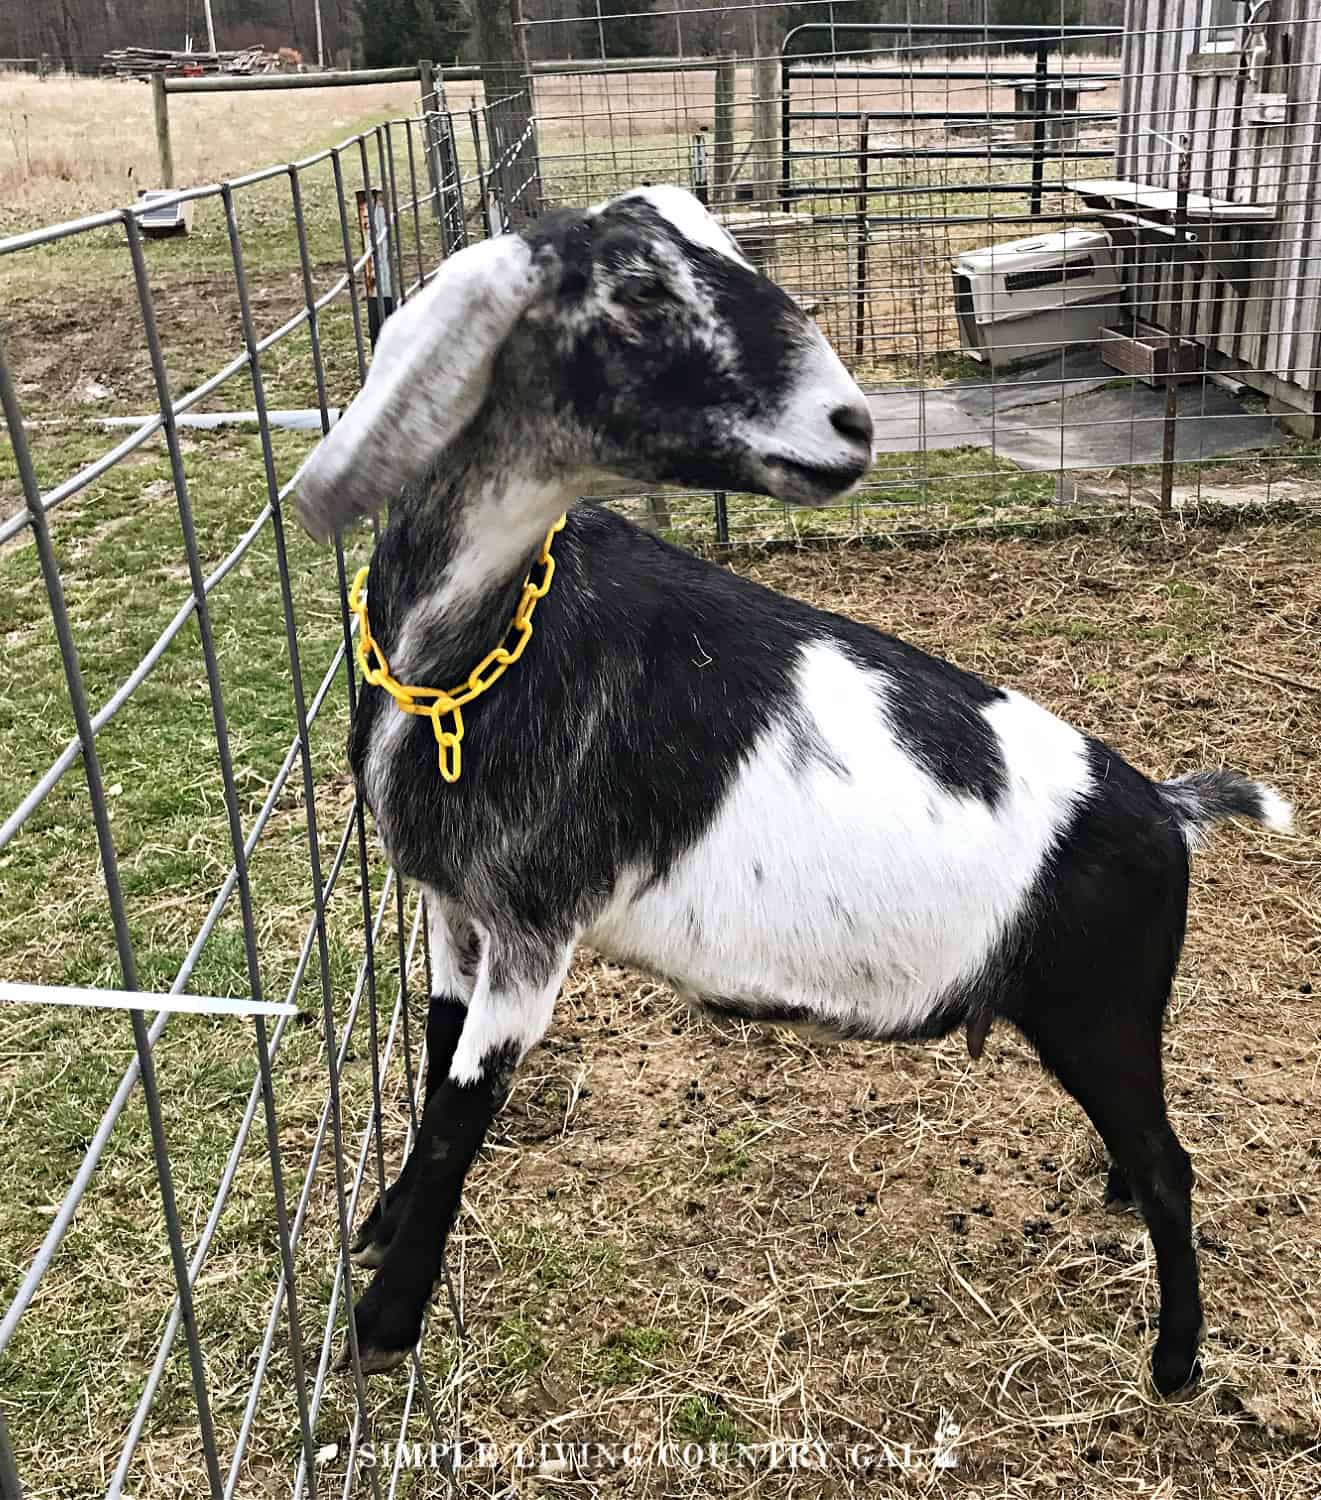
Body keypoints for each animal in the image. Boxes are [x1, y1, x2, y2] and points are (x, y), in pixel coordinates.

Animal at [295, 186, 1292, 1396]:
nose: (850, 425)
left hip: (1101, 1006)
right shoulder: (453, 905)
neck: (468, 660)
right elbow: (437, 1061)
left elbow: (461, 1110)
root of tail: (1167, 813)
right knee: (1141, 1156)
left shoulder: (539, 924)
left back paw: (1175, 1363)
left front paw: (383, 1323)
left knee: (1171, 1165)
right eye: (637, 289)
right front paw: (380, 1231)